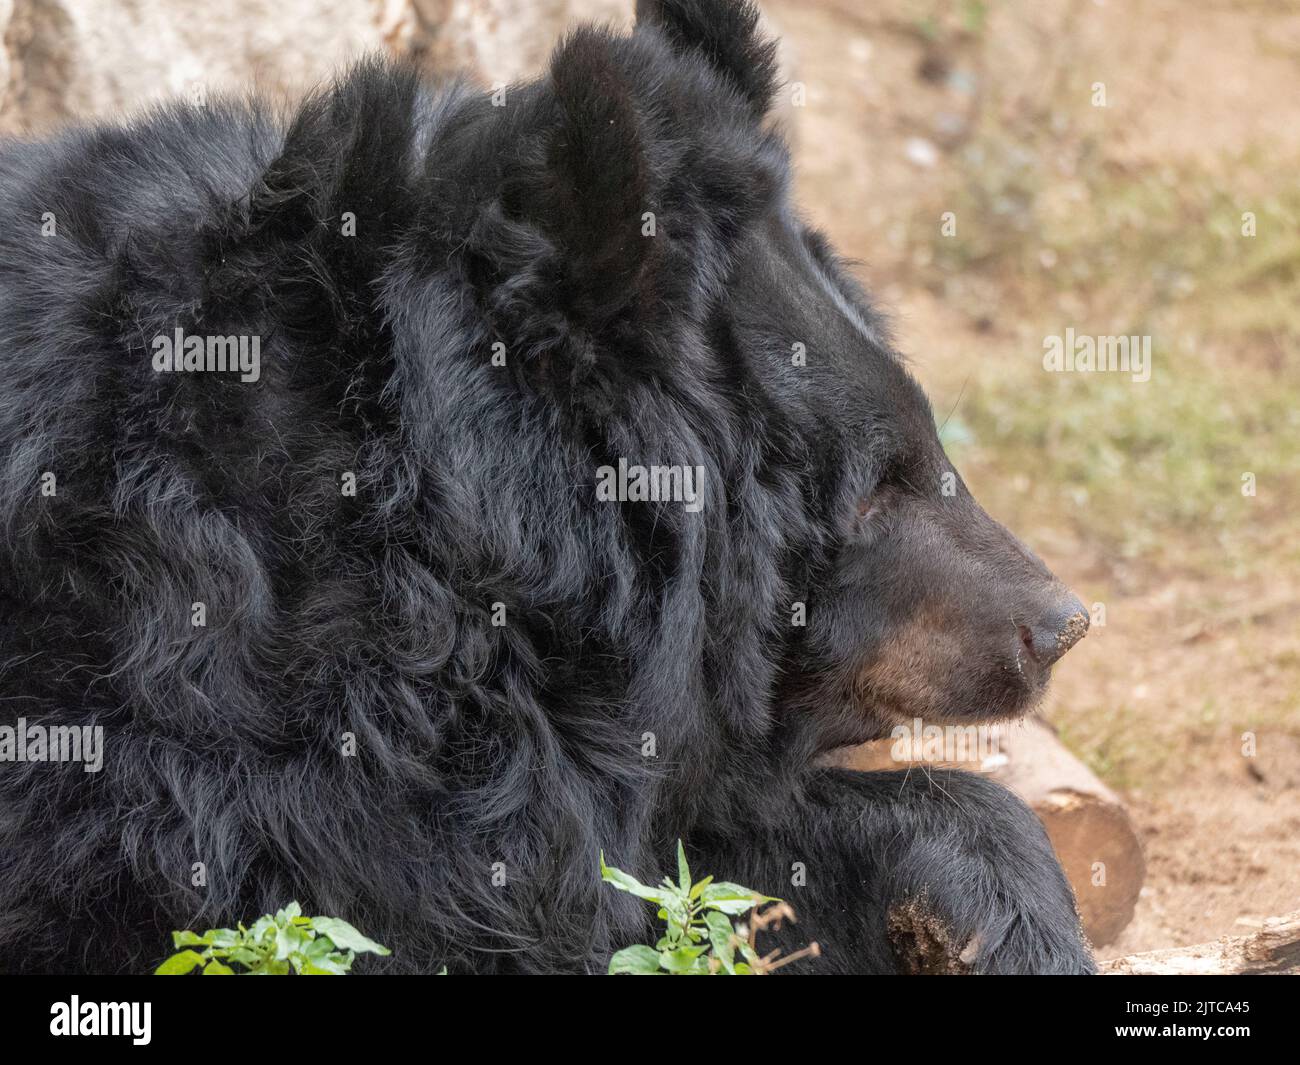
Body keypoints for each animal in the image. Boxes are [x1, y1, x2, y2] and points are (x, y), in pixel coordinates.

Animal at [0, 0, 1094, 974]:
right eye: (870, 491)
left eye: (930, 442)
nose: (1060, 624)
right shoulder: (214, 737)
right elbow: (480, 886)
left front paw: (998, 920)